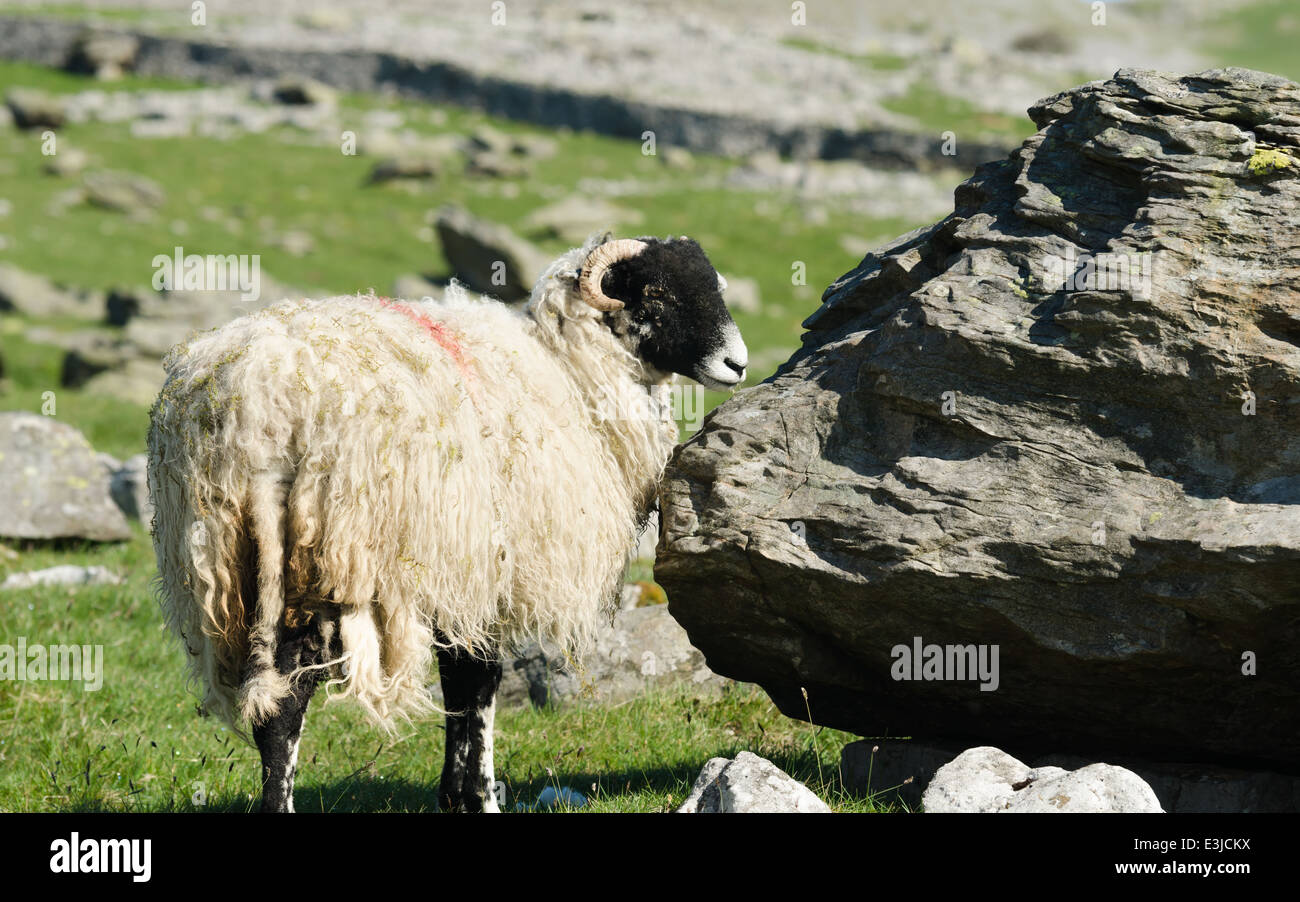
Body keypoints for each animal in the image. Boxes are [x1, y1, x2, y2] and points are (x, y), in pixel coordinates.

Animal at [147, 234, 748, 812]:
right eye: (657, 296)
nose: (737, 365)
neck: (569, 373)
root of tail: (256, 402)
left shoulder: (460, 577)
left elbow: (460, 686)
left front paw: (452, 795)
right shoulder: (486, 572)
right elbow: (477, 685)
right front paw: (479, 797)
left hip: (229, 557)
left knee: (270, 693)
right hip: (324, 554)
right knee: (289, 698)